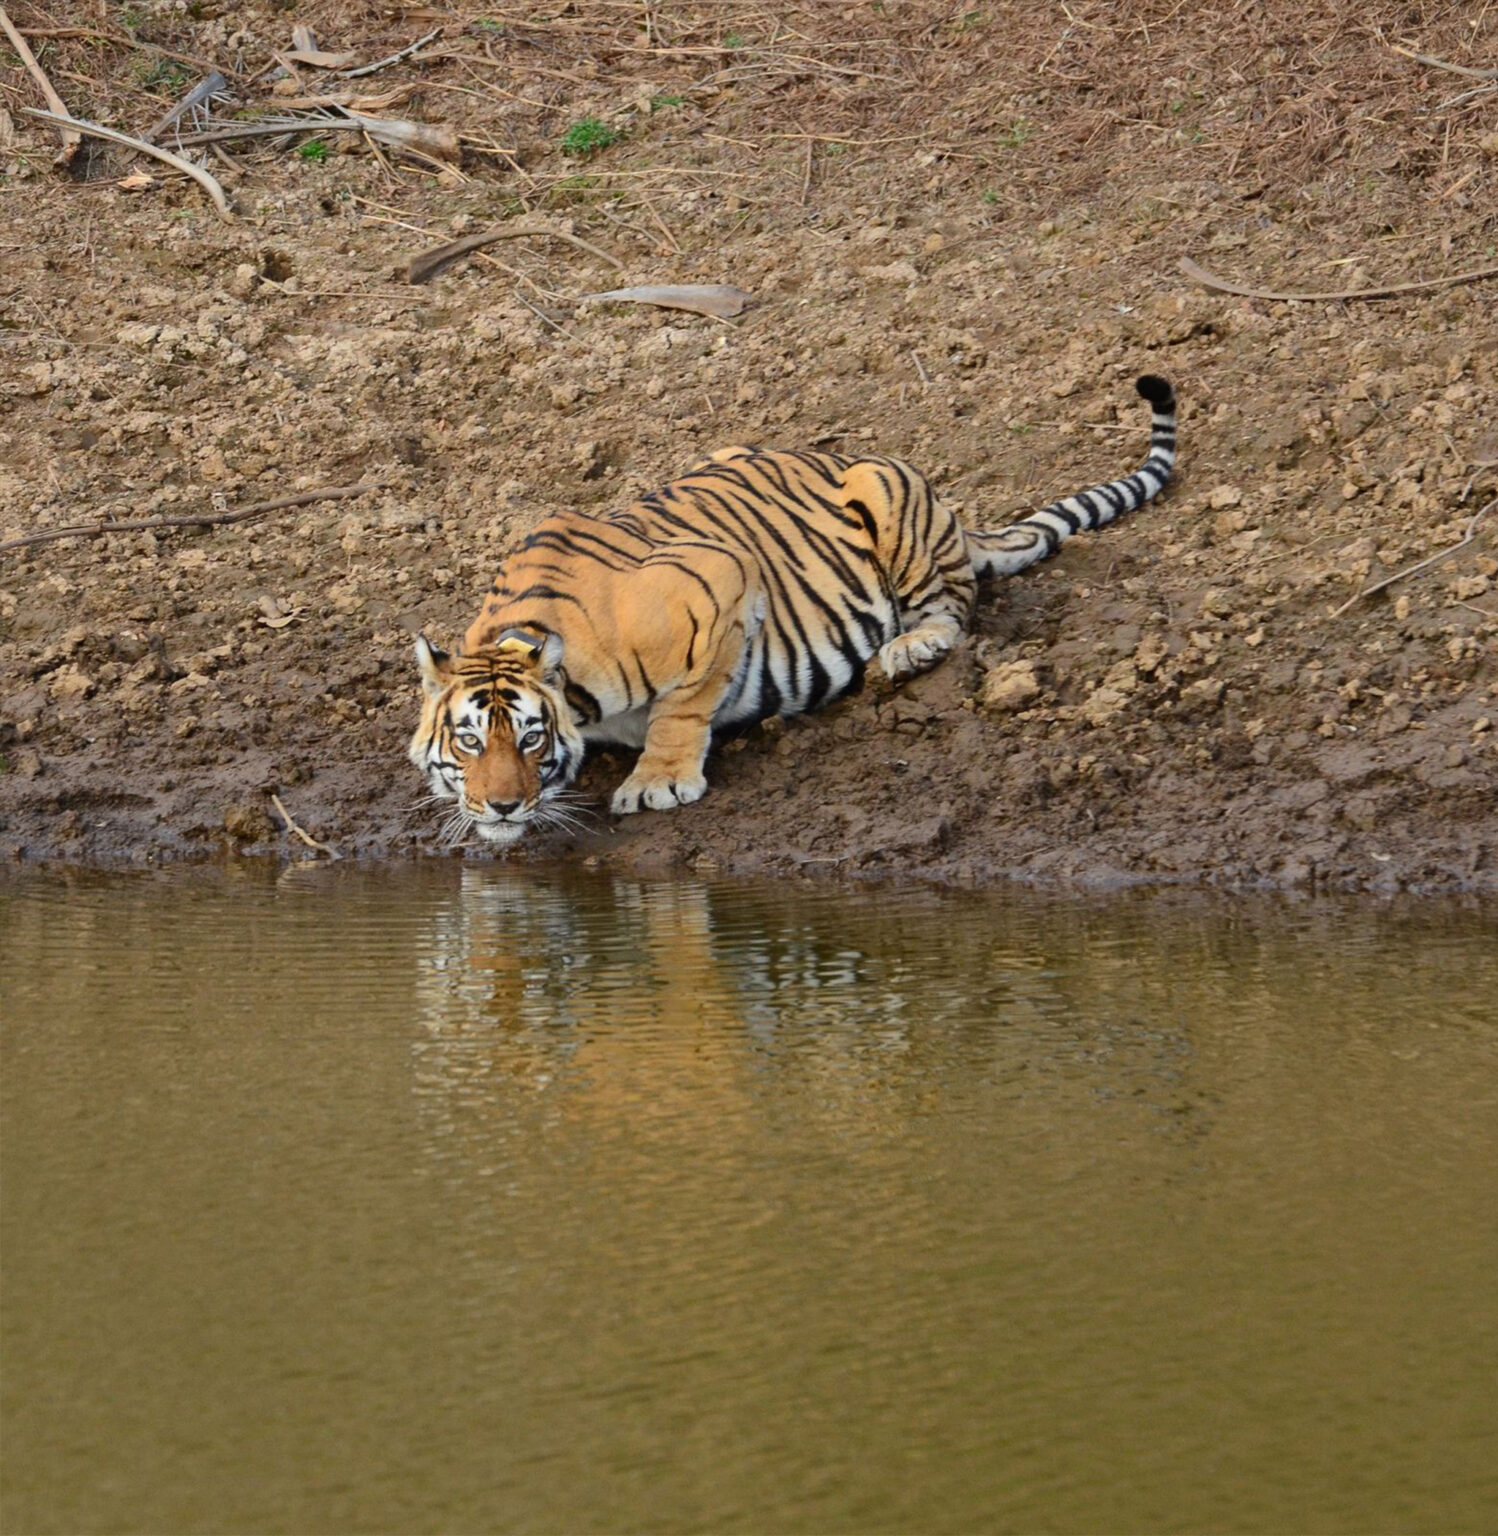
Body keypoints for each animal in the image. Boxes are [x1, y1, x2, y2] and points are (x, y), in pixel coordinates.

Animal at [410, 374, 1177, 847]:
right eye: (470, 741)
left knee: (953, 610)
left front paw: (659, 780)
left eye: (531, 739)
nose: (502, 805)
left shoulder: (720, 579)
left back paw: (912, 648)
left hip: (890, 495)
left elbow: (685, 704)